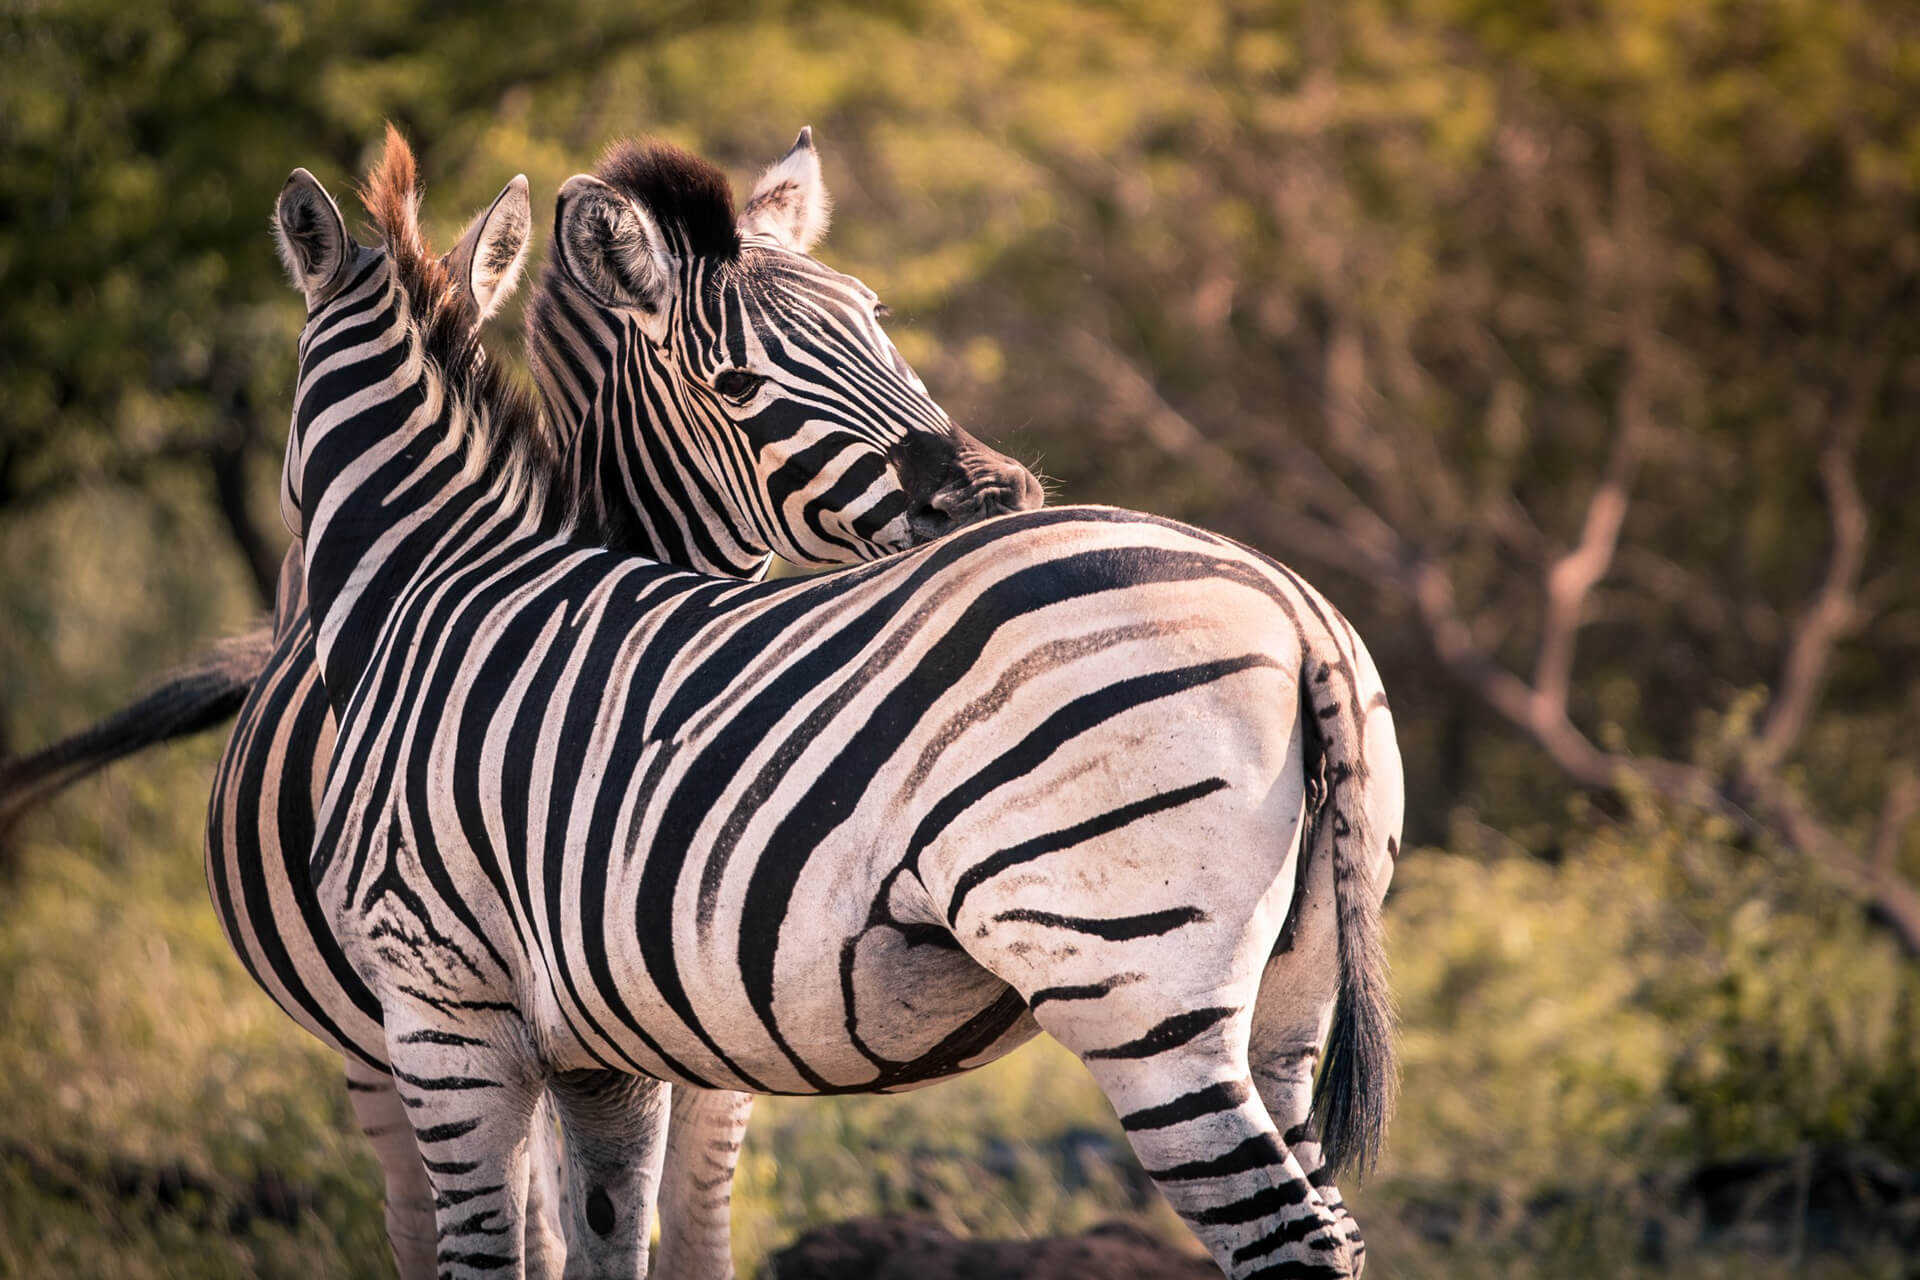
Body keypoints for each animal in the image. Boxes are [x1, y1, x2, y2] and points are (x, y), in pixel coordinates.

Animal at [3, 130, 1040, 1278]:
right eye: (734, 381)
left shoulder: (709, 1028)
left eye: (877, 320)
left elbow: (691, 1230)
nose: (993, 494)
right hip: (383, 1044)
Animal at [274, 128, 1402, 1280]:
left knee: (1283, 1231)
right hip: (1291, 997)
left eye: (878, 319)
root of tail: (1295, 608)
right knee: (1333, 1218)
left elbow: (492, 1253)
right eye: (732, 381)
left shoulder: (444, 1010)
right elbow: (605, 1235)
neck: (437, 575)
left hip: (1135, 984)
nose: (993, 496)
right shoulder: (602, 1046)